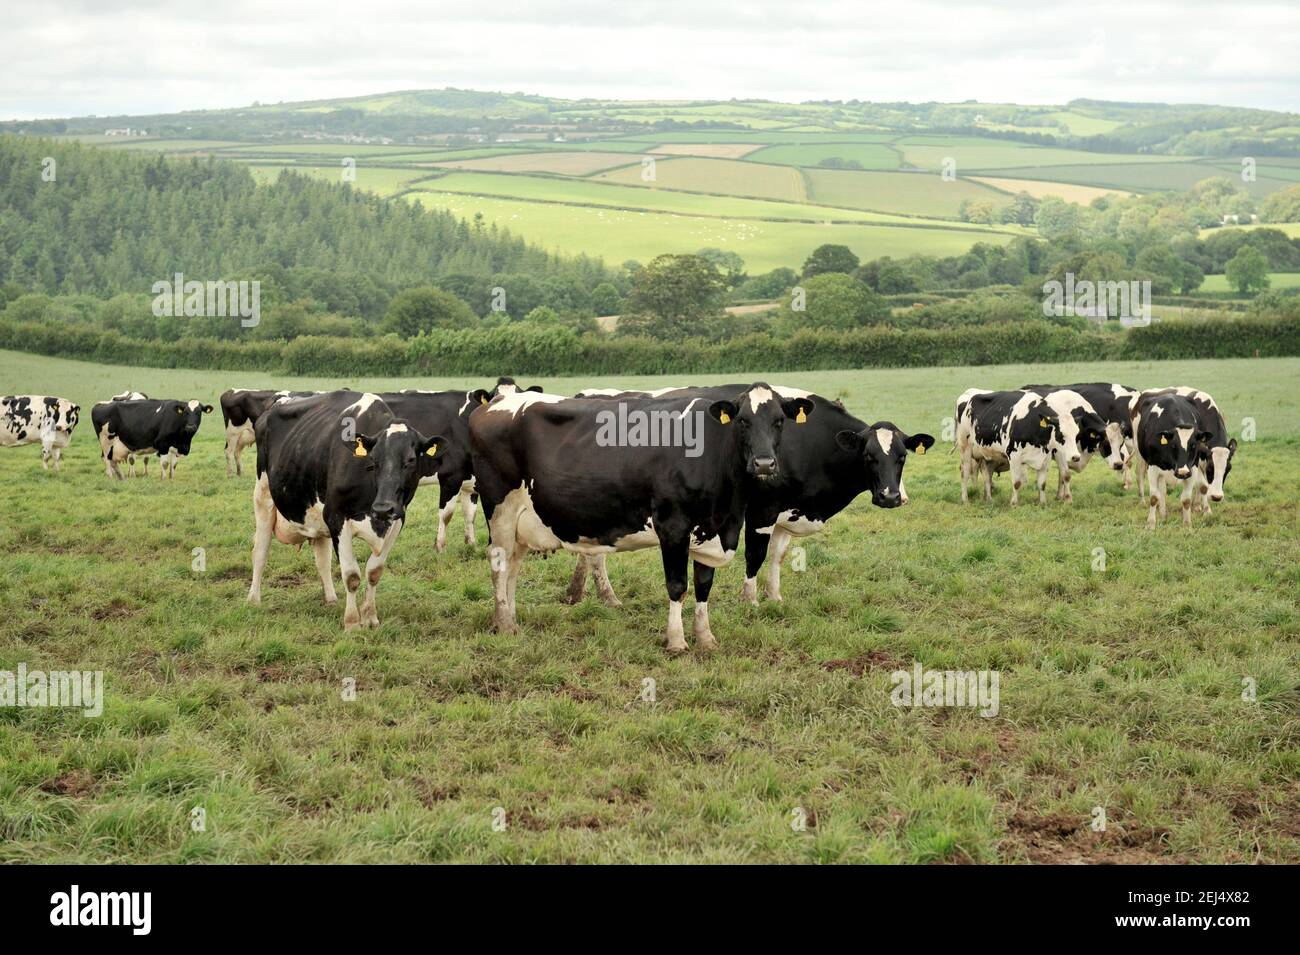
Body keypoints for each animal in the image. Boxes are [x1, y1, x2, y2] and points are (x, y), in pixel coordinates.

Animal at [247, 391, 447, 630]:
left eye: (410, 459)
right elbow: (351, 575)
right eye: (373, 460)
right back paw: (253, 600)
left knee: (322, 559)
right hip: (263, 496)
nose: (383, 508)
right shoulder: (337, 517)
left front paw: (370, 617)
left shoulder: (397, 520)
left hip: (316, 513)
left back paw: (331, 598)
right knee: (260, 551)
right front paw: (352, 623)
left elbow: (374, 572)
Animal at [470, 384, 815, 652]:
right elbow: (678, 585)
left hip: (522, 521)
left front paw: (705, 638)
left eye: (779, 421)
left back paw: (510, 620)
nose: (764, 463)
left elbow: (703, 586)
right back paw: (504, 625)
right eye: (742, 421)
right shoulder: (672, 526)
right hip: (500, 510)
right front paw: (676, 641)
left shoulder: (711, 530)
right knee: (498, 564)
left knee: (512, 566)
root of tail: (495, 405)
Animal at [568, 384, 933, 605]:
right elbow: (755, 555)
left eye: (902, 456)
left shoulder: (787, 513)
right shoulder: (763, 510)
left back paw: (584, 593)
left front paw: (774, 597)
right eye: (869, 456)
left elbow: (777, 556)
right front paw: (750, 600)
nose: (891, 497)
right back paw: (601, 595)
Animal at [1130, 387, 1236, 524]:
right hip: (1140, 453)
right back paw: (1143, 501)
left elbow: (1199, 487)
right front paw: (1207, 510)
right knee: (1140, 474)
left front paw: (1198, 507)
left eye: (1227, 469)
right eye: (1210, 469)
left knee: (1162, 487)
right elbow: (1203, 486)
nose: (1217, 497)